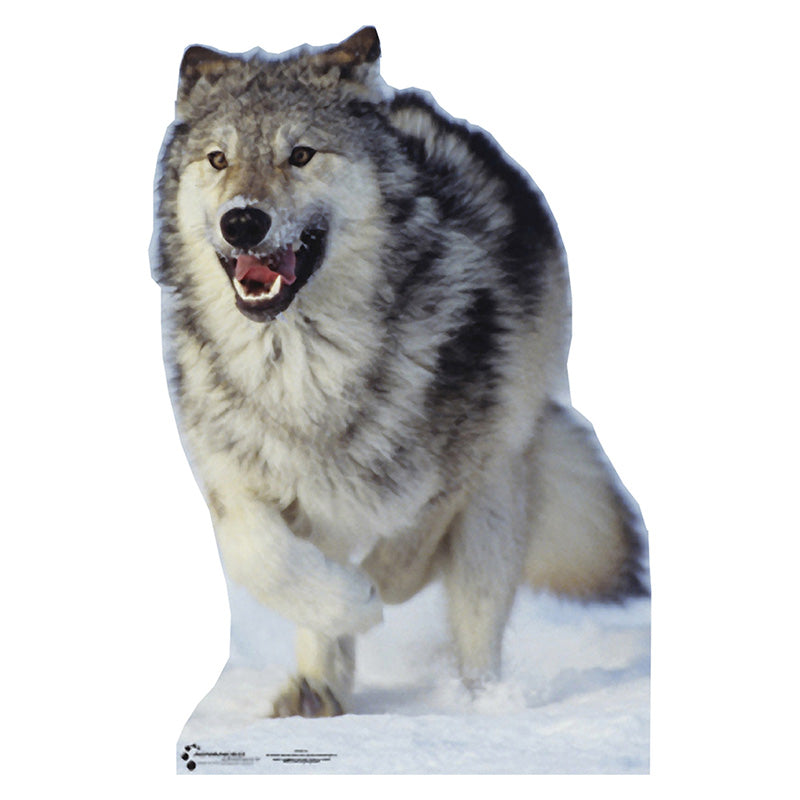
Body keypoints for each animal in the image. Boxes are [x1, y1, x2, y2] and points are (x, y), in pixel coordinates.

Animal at [151, 26, 648, 718]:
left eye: (300, 155)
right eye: (218, 159)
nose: (243, 220)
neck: (304, 364)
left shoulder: (457, 476)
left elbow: (406, 557)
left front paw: (370, 590)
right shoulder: (234, 477)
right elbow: (262, 556)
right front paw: (344, 603)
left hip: (500, 485)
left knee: (474, 619)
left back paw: (478, 707)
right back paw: (316, 692)